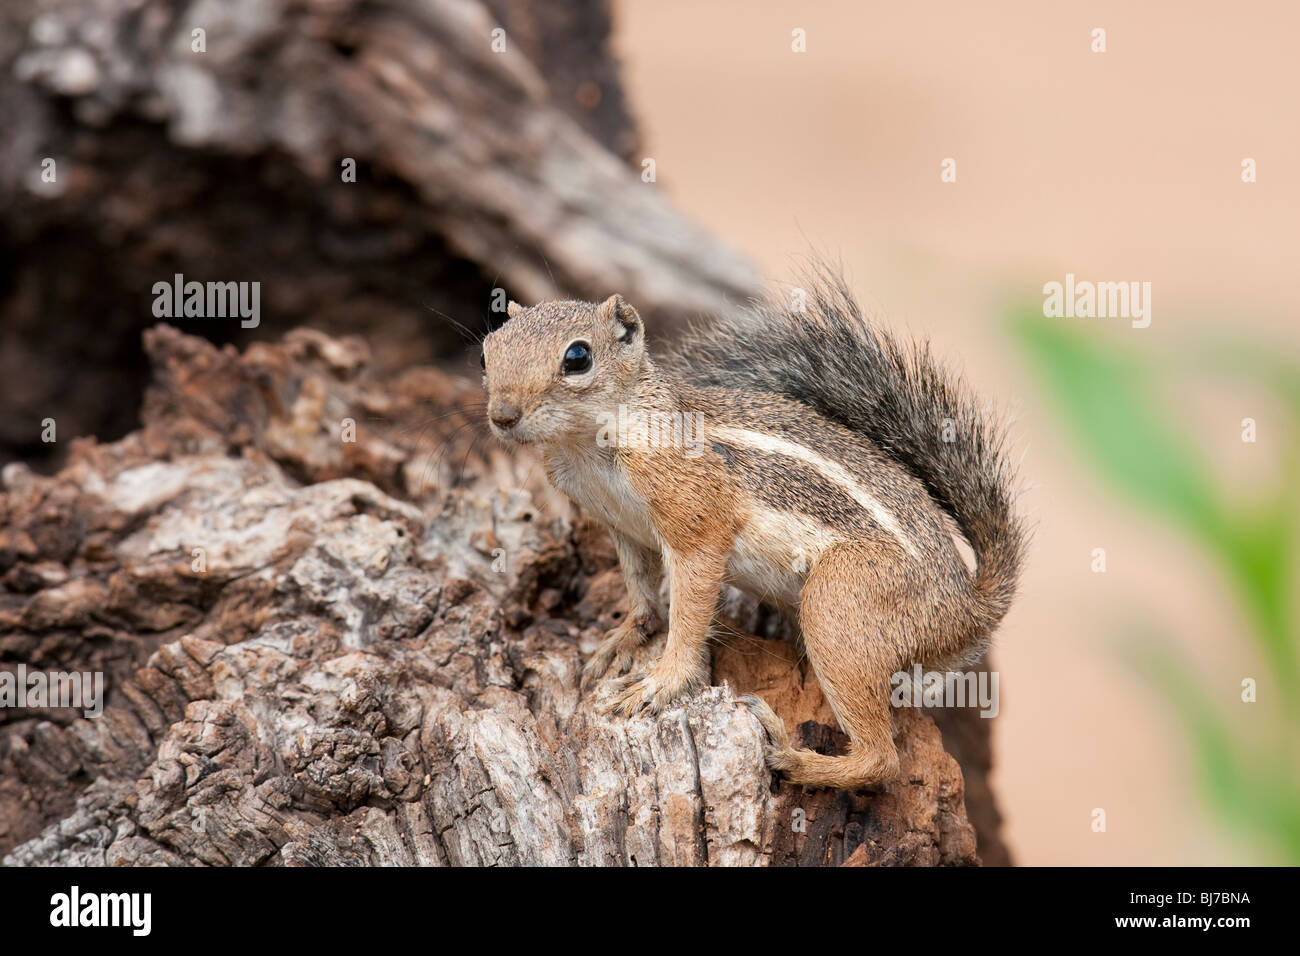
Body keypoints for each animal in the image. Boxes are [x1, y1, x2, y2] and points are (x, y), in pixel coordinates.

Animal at [480, 268, 1026, 789]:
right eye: (487, 353)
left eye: (577, 357)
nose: (503, 416)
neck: (586, 446)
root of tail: (968, 607)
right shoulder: (624, 529)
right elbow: (640, 592)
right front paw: (624, 638)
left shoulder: (697, 526)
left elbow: (690, 612)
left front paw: (663, 681)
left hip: (840, 606)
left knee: (881, 761)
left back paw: (790, 756)